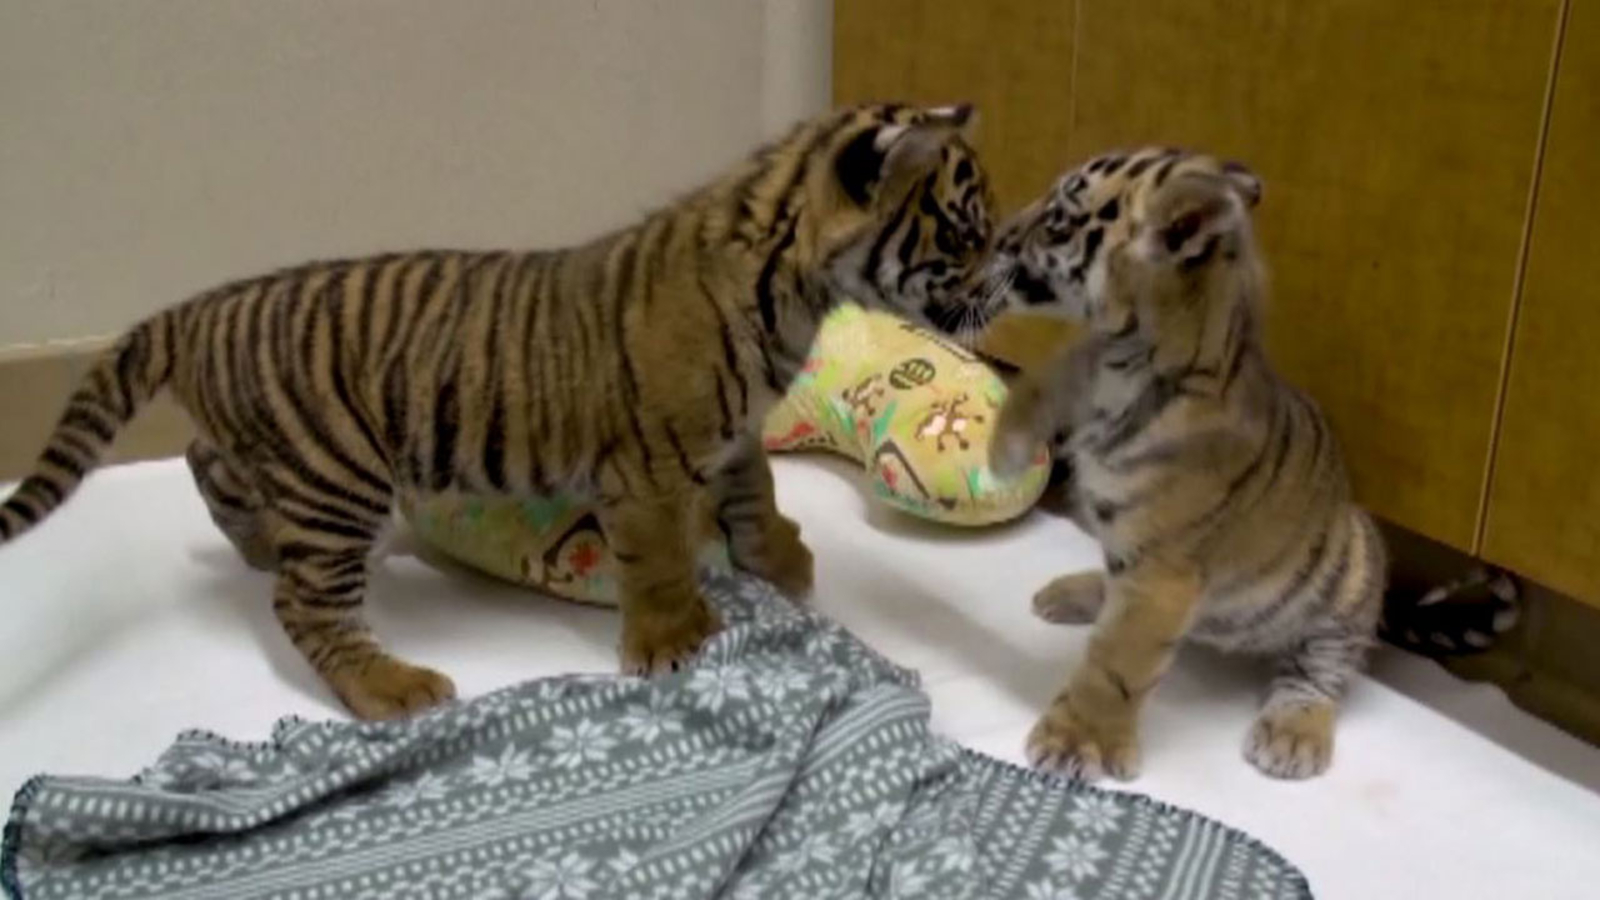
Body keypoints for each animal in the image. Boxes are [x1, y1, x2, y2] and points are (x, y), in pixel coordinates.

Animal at [0, 103, 995, 720]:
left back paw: (254, 544)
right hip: (337, 470)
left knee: (213, 474)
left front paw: (781, 561)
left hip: (270, 453)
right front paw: (673, 640)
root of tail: (197, 308)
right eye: (963, 233)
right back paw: (391, 688)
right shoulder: (648, 465)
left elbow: (756, 493)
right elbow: (660, 557)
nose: (1005, 283)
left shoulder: (733, 431)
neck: (793, 289)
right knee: (304, 602)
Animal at [979, 147, 1386, 780]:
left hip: (1352, 570)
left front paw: (1075, 741)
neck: (1128, 360)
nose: (996, 235)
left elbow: (1115, 665)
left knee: (1321, 670)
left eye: (1058, 222)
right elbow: (1051, 372)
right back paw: (1068, 593)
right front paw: (1006, 449)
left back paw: (1291, 736)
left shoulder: (1161, 573)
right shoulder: (1087, 365)